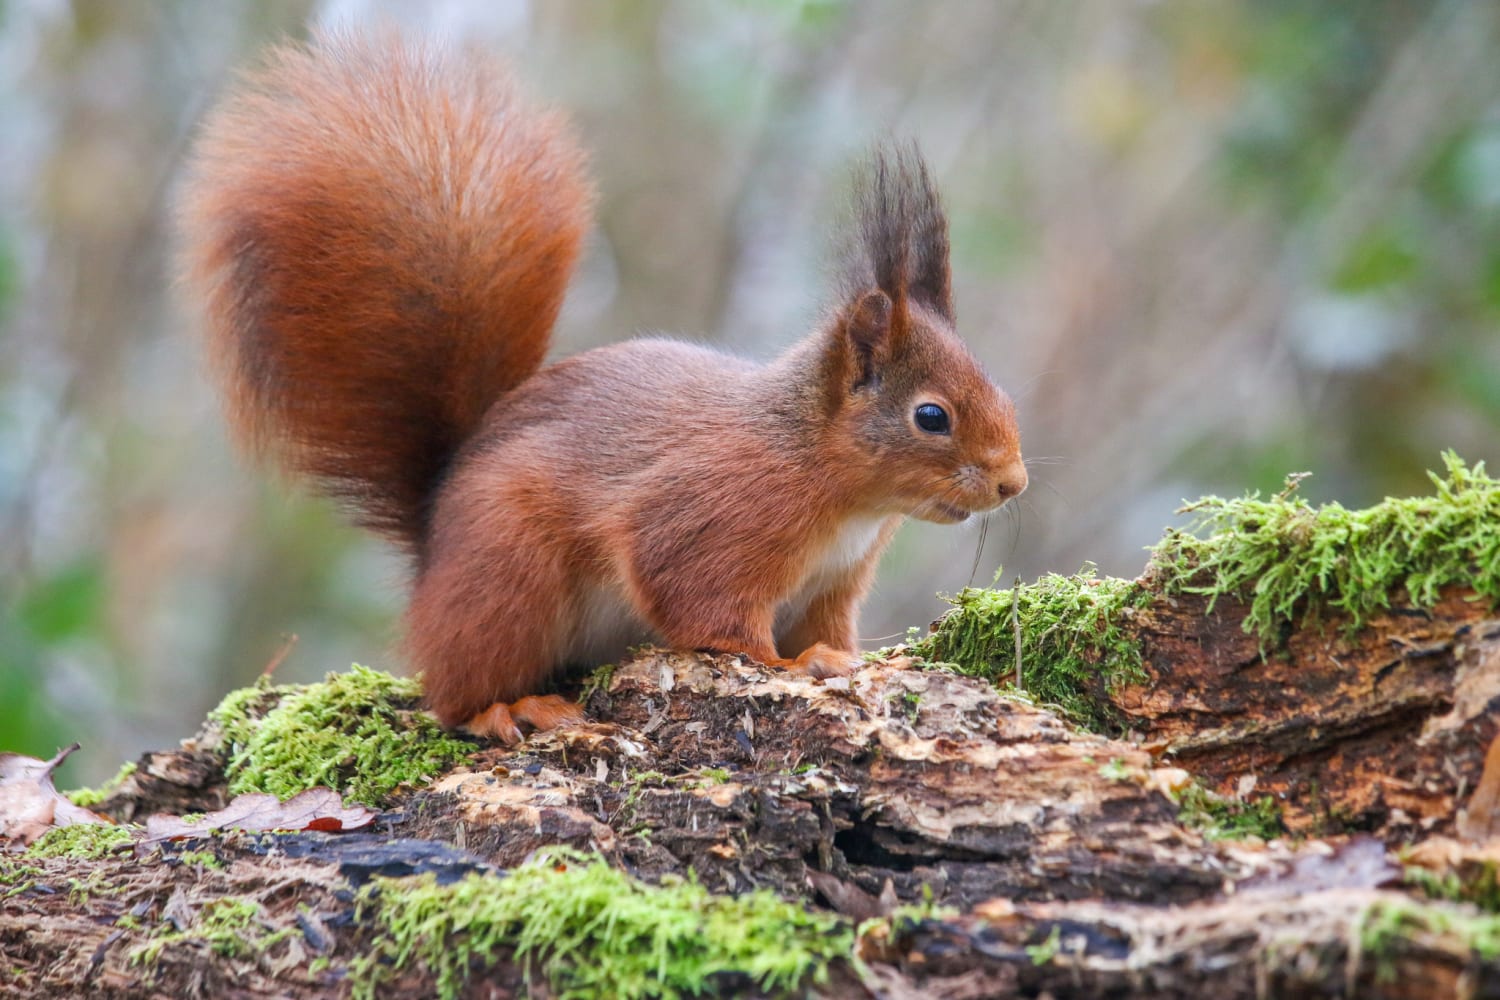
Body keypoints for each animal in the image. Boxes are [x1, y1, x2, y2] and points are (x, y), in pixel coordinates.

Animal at [176, 29, 1027, 744]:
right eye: (931, 416)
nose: (1012, 484)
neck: (828, 474)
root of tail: (433, 533)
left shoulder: (832, 584)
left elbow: (825, 629)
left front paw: (848, 660)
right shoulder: (716, 513)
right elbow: (702, 604)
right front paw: (792, 667)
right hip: (506, 577)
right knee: (452, 692)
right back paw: (507, 707)